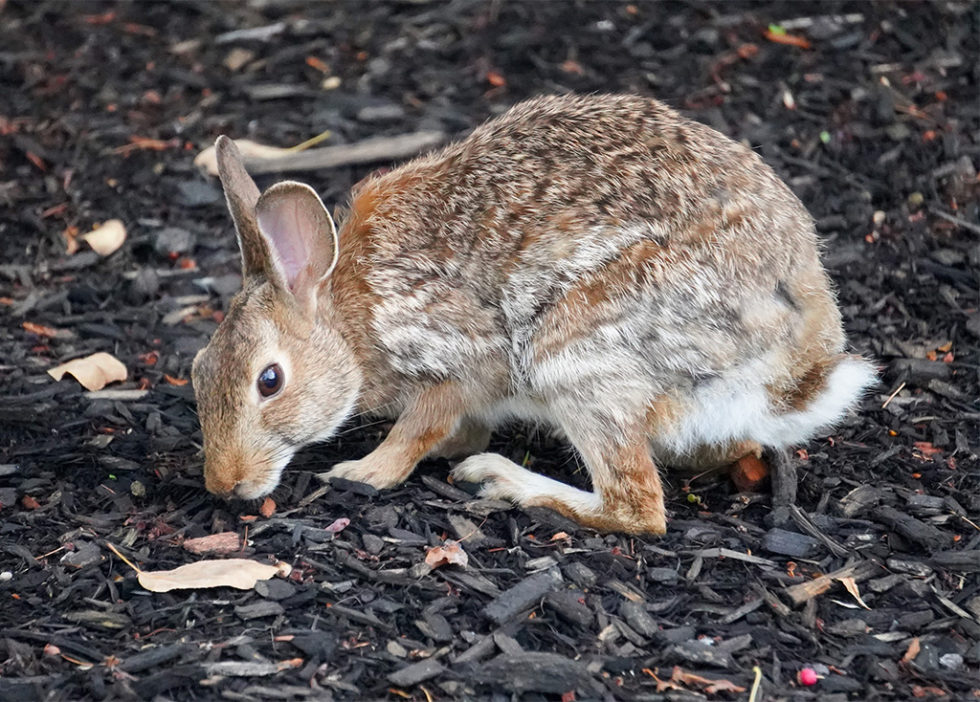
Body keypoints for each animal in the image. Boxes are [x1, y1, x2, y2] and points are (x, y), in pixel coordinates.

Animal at [191, 94, 877, 535]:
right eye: (198, 371)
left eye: (269, 381)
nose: (223, 485)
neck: (343, 315)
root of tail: (798, 365)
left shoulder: (462, 355)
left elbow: (420, 426)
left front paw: (363, 472)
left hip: (572, 353)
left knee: (636, 509)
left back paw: (504, 481)